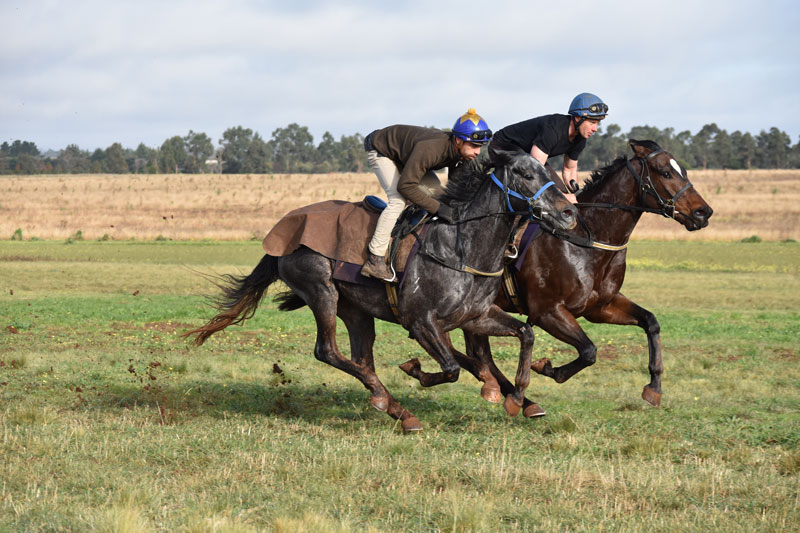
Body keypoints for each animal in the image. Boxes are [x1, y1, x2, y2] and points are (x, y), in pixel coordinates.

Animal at [184, 151, 577, 430]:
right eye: (526, 174)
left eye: (550, 172)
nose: (569, 213)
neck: (462, 246)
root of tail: (283, 231)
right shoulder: (420, 321)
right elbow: (450, 367)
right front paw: (416, 369)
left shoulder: (476, 316)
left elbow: (524, 334)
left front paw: (518, 396)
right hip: (322, 291)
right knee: (327, 351)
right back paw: (391, 403)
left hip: (355, 310)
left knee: (361, 358)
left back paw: (393, 407)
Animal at [404, 140, 713, 414]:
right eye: (666, 173)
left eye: (683, 171)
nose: (704, 212)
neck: (587, 239)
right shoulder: (547, 311)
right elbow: (588, 350)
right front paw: (547, 368)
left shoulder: (600, 307)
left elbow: (651, 322)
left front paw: (654, 386)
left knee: (478, 354)